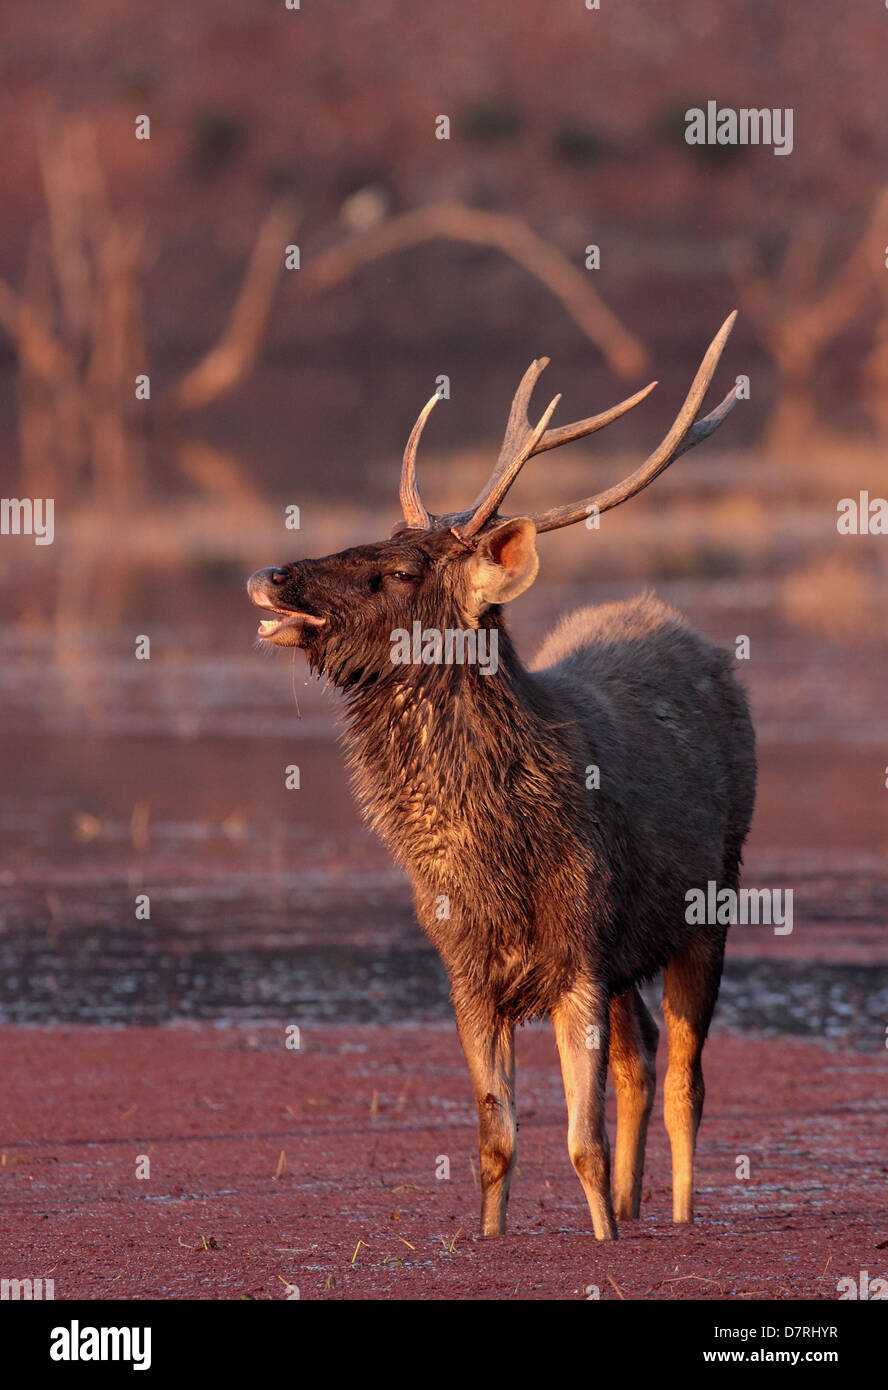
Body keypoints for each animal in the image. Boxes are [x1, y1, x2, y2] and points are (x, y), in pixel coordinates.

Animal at [248, 311, 756, 1240]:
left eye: (401, 571)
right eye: (381, 536)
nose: (274, 574)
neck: (496, 860)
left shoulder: (581, 947)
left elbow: (581, 1141)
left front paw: (605, 1242)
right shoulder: (467, 966)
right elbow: (496, 1138)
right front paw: (494, 1237)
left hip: (712, 903)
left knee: (684, 1081)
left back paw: (673, 1219)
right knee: (641, 1062)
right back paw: (635, 1205)